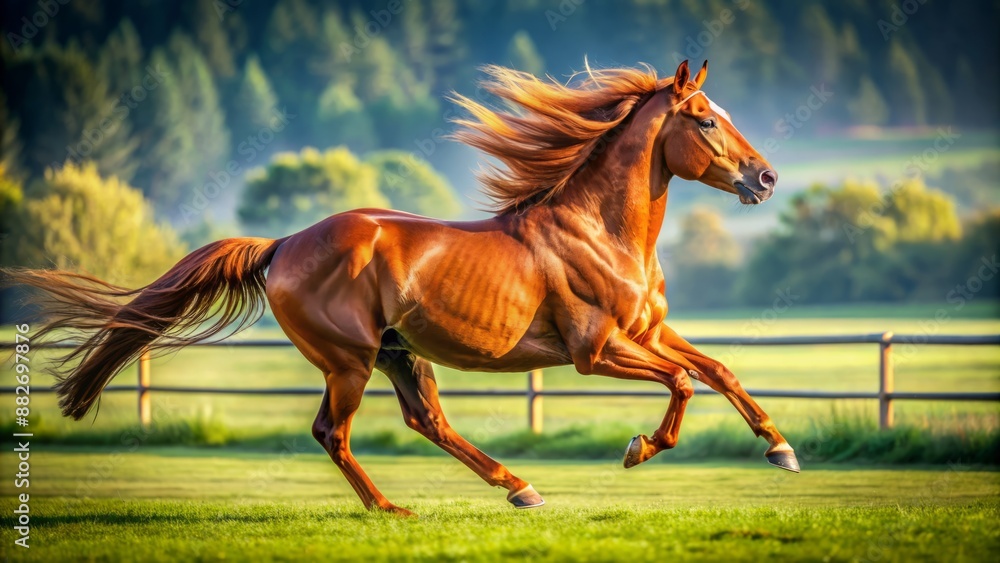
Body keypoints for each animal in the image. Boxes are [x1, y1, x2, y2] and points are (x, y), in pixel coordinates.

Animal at [7, 60, 797, 517]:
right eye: (705, 119)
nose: (765, 178)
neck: (599, 231)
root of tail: (283, 245)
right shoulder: (596, 349)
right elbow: (684, 385)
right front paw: (638, 448)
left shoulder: (650, 331)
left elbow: (718, 370)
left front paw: (781, 450)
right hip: (350, 360)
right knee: (335, 432)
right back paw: (392, 510)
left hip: (398, 352)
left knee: (428, 422)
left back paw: (519, 487)